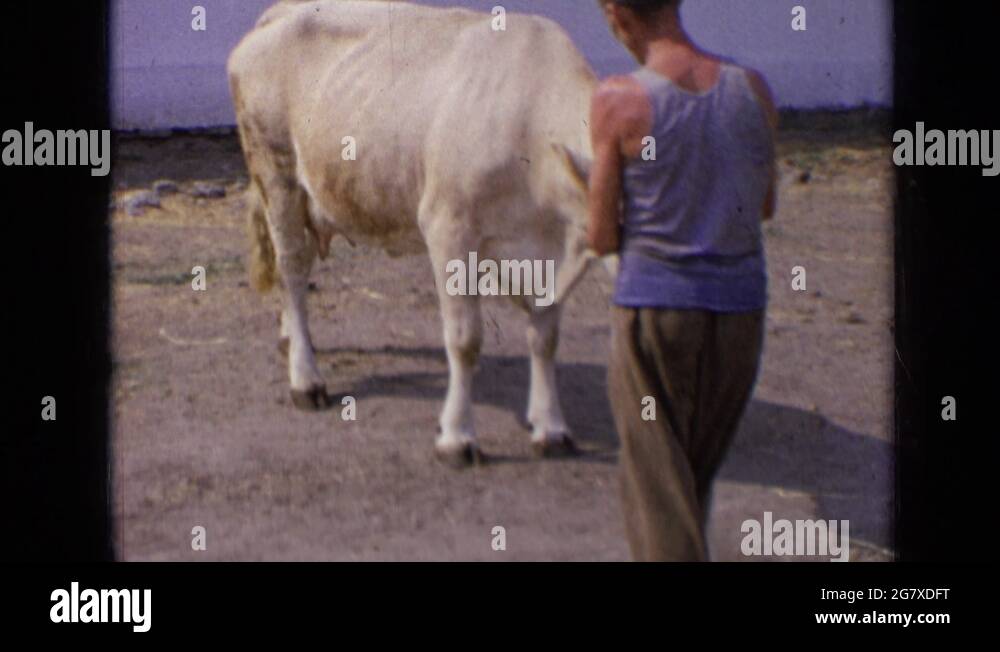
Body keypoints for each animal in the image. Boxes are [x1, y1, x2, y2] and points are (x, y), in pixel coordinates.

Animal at [228, 0, 599, 467]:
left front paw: (551, 429)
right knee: (292, 269)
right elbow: (465, 340)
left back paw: (291, 339)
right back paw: (306, 379)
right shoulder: (448, 229)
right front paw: (457, 437)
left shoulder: (551, 254)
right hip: (276, 172)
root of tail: (279, 13)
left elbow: (545, 338)